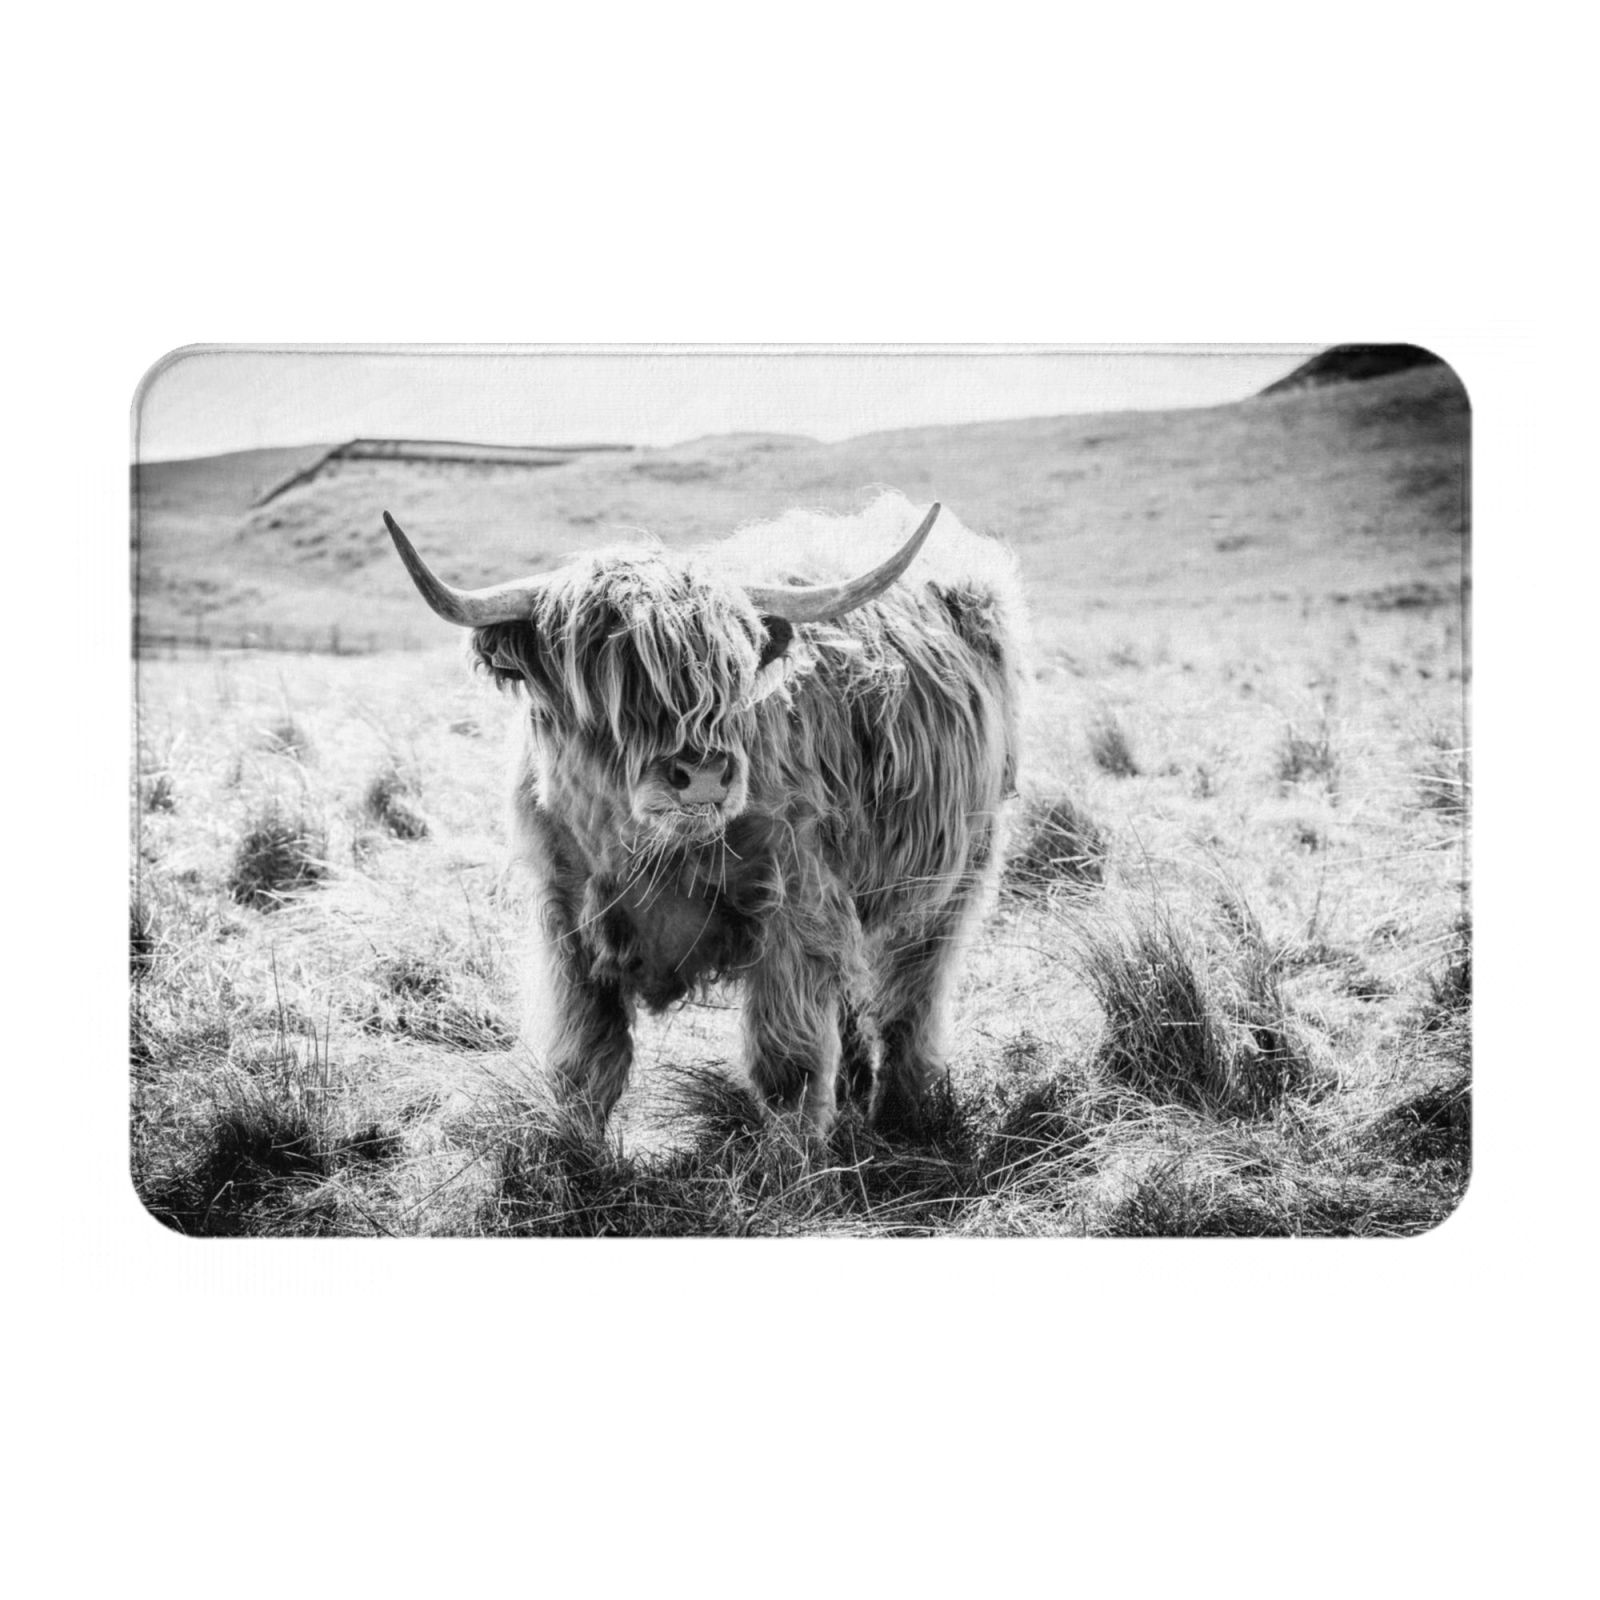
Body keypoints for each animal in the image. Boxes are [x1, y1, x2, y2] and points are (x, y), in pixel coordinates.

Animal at [384, 491, 1026, 1138]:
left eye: (728, 678)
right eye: (609, 687)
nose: (704, 774)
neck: (650, 855)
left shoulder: (795, 904)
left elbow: (787, 1065)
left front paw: (792, 1162)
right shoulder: (567, 918)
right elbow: (584, 1063)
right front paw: (575, 1154)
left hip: (958, 870)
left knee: (912, 991)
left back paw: (900, 1112)